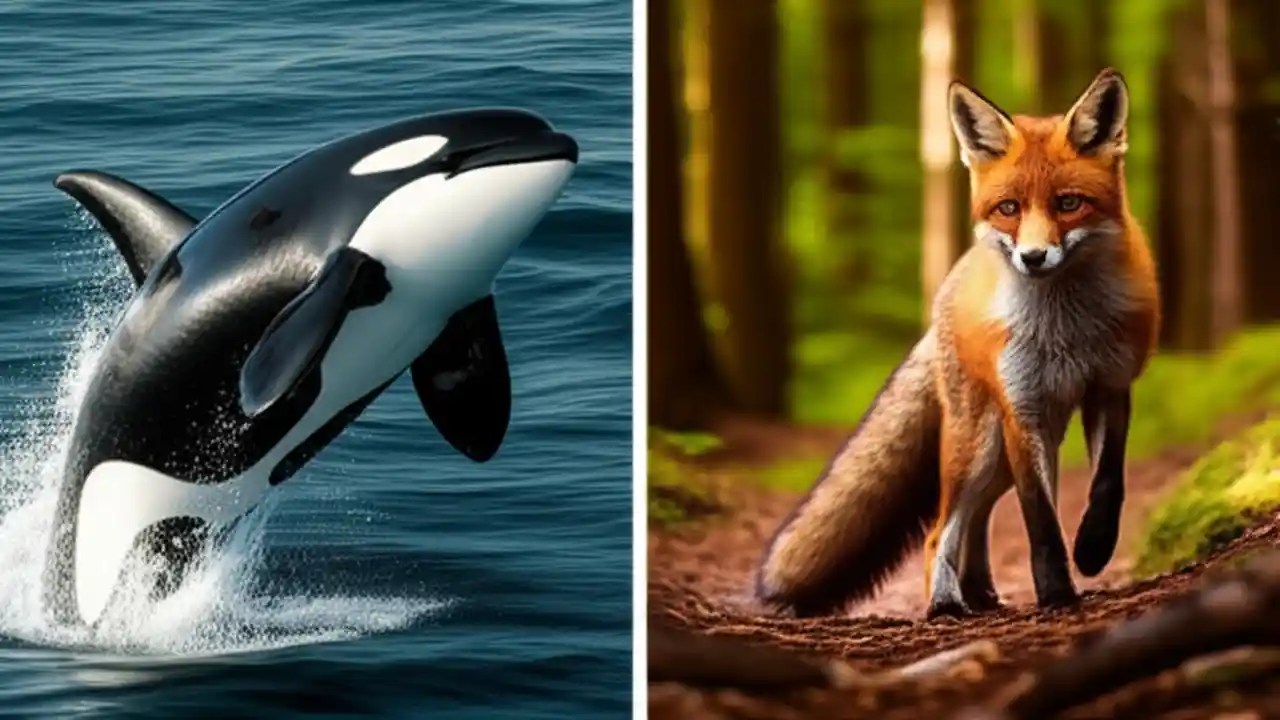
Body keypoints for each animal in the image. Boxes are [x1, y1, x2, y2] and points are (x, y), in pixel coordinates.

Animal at [756, 68, 1161, 619]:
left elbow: (1108, 483)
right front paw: (1056, 593)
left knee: (980, 513)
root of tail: (952, 282)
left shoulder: (1110, 388)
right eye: (1009, 208)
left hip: (1019, 444)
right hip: (980, 443)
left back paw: (980, 590)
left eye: (1068, 204)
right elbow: (1041, 521)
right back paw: (947, 602)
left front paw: (1094, 548)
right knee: (940, 528)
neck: (1066, 329)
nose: (1033, 257)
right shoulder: (1022, 410)